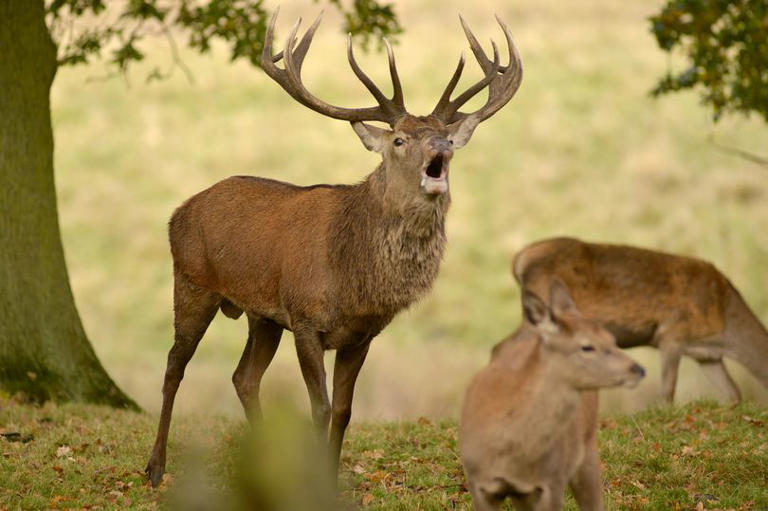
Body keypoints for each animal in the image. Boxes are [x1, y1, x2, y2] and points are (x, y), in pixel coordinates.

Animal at [144, 9, 523, 487]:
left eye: (446, 136)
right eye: (399, 139)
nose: (441, 148)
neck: (352, 277)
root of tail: (178, 212)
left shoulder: (361, 334)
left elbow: (343, 410)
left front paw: (328, 481)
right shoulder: (306, 319)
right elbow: (319, 408)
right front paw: (314, 482)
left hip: (262, 316)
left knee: (243, 378)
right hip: (192, 281)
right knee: (174, 365)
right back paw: (155, 466)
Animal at [460, 279, 645, 511]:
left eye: (611, 339)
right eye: (586, 346)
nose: (638, 369)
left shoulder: (552, 481)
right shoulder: (478, 482)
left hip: (587, 447)